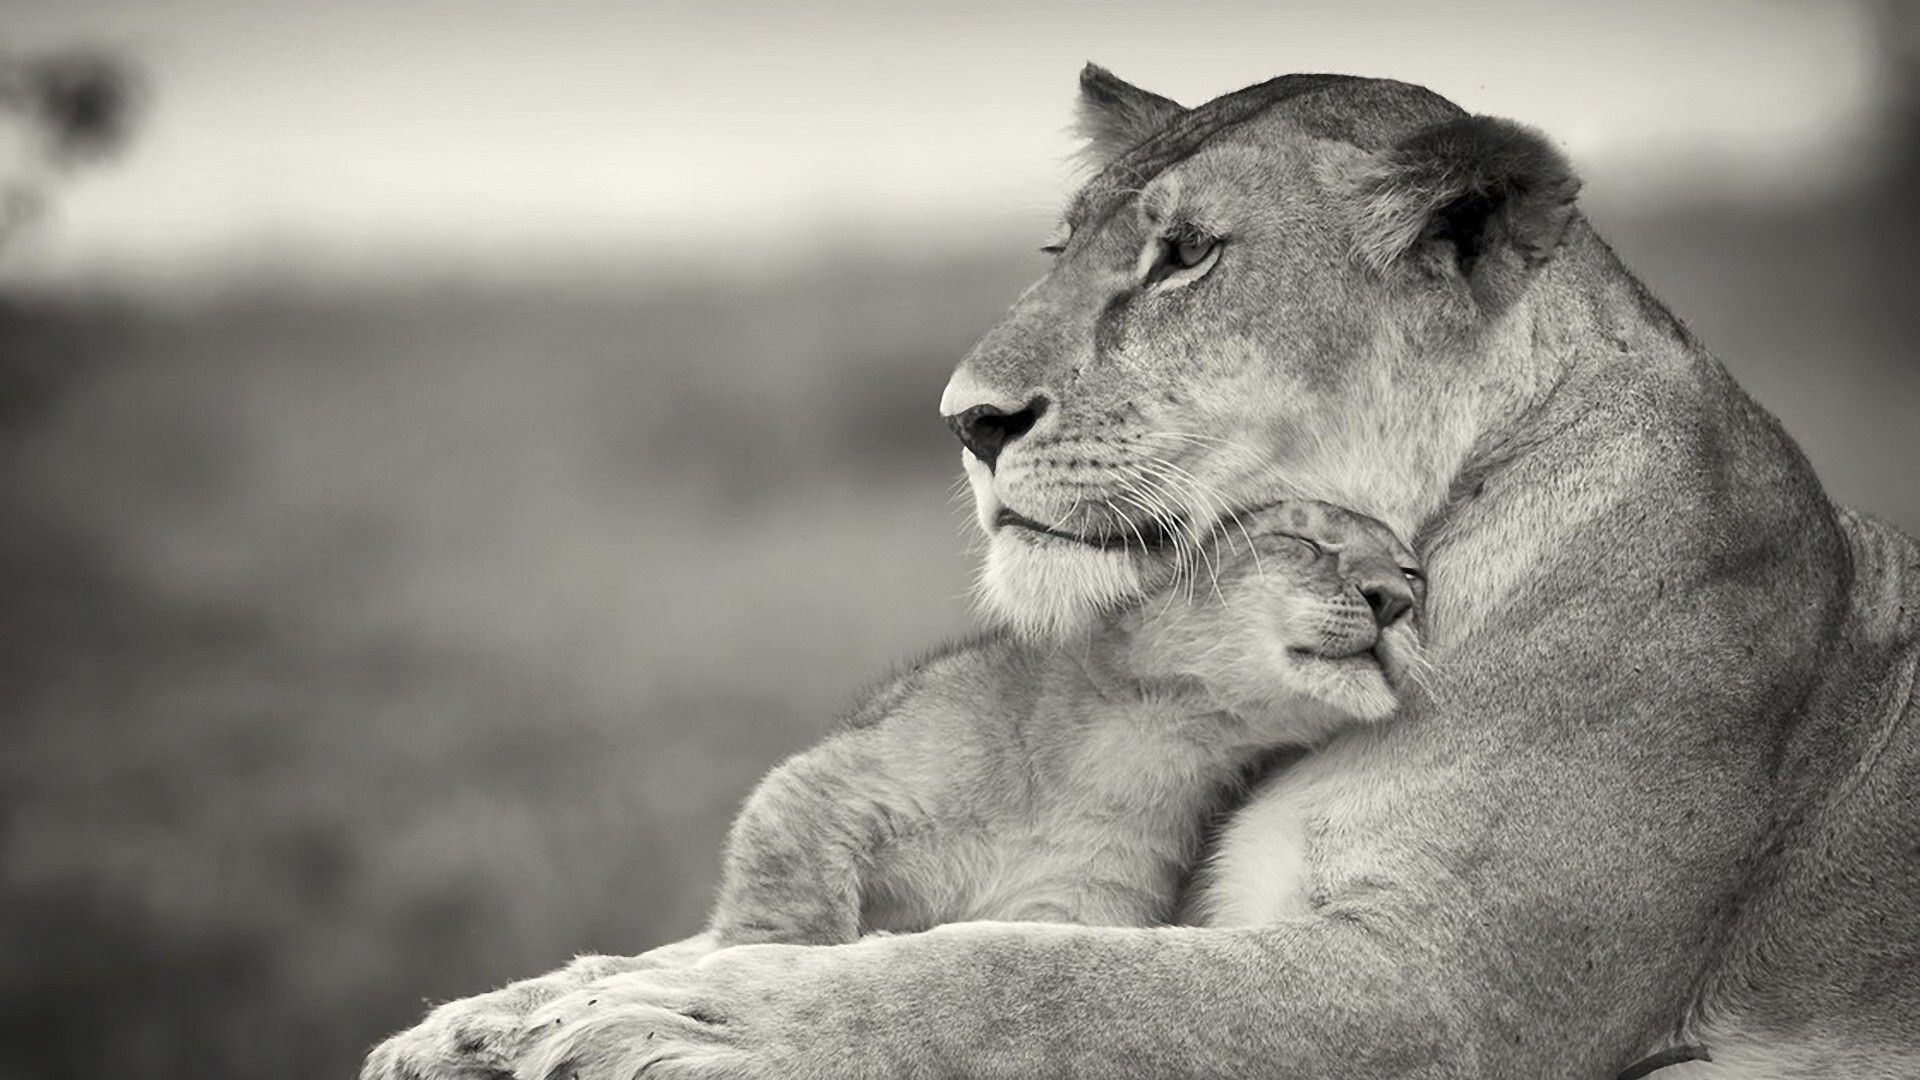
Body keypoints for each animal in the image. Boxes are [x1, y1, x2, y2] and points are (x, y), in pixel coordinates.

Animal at [363, 67, 1920, 1080]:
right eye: (1064, 248)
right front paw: (506, 1012)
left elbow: (1025, 981)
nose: (967, 420)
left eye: (1183, 259)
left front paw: (697, 1022)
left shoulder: (1458, 990)